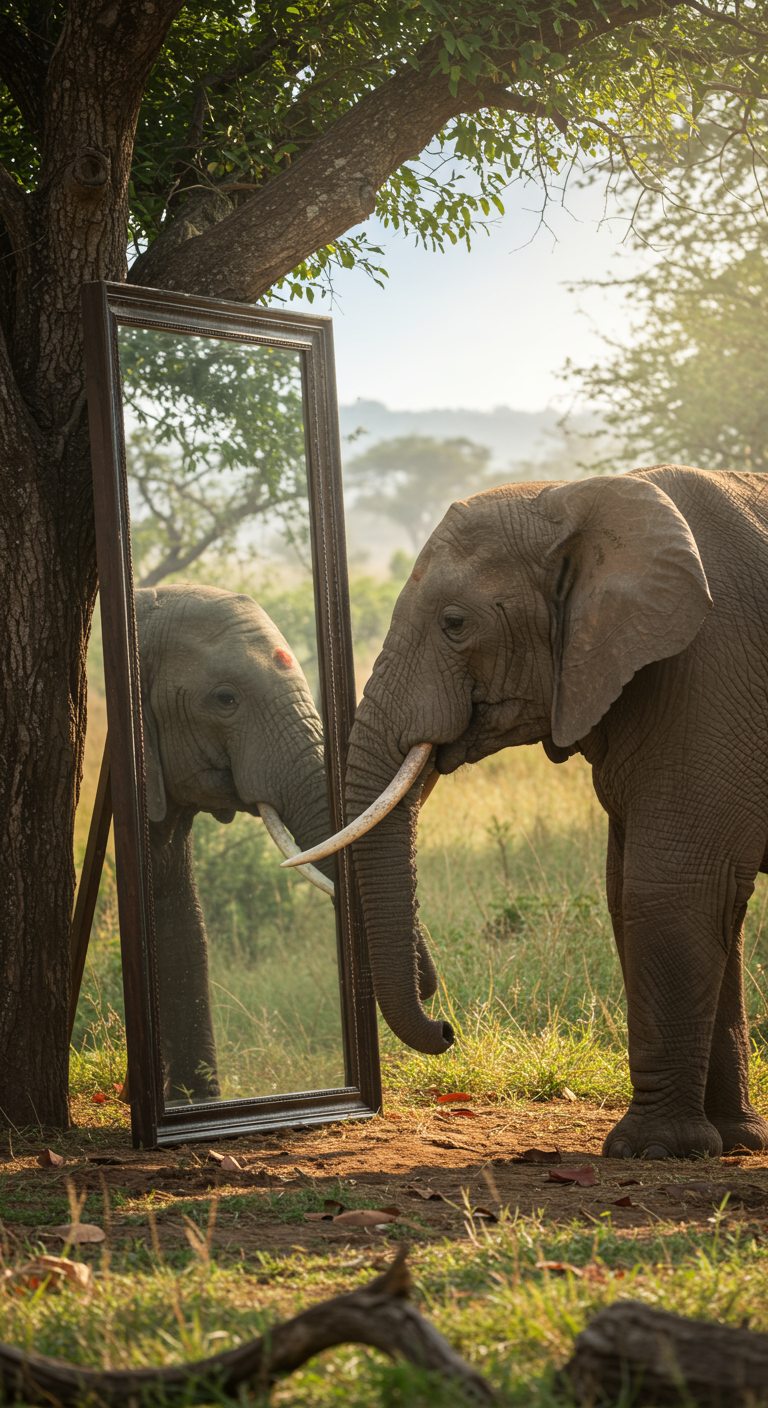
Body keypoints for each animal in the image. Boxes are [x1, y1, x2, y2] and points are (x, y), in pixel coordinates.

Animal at [291, 465, 768, 1161]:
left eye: (455, 623)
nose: (446, 1025)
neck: (580, 494)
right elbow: (670, 895)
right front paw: (728, 1143)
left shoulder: (710, 670)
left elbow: (669, 889)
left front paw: (649, 1151)